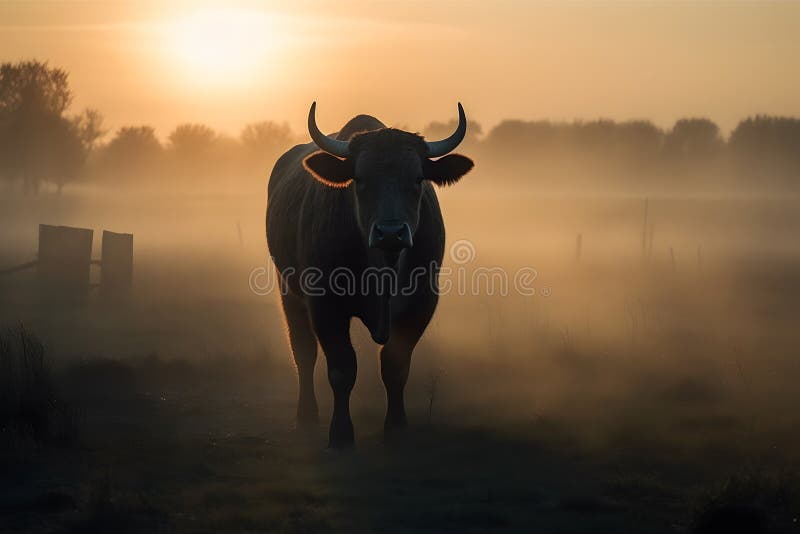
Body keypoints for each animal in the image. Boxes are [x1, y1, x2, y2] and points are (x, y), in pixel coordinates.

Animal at [266, 103, 474, 448]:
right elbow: (341, 368)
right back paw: (306, 415)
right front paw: (340, 434)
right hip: (289, 293)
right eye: (360, 180)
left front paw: (397, 426)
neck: (384, 269)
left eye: (417, 179)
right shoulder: (325, 304)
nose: (390, 233)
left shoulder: (422, 302)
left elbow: (395, 366)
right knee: (304, 352)